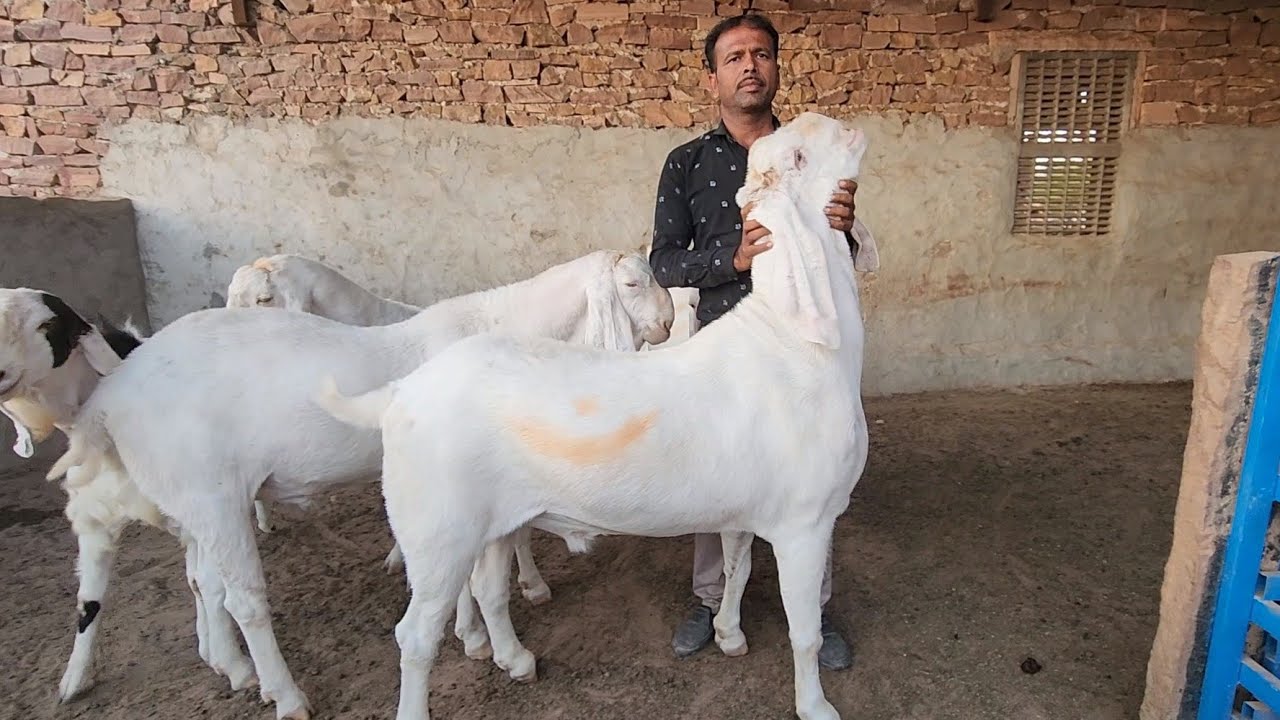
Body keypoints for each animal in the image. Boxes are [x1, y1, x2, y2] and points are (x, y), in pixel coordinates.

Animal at [46, 250, 675, 720]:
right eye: (630, 282)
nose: (668, 322)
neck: (493, 326)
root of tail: (115, 392)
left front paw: (486, 627)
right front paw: (481, 633)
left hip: (198, 500)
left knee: (204, 581)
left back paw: (231, 667)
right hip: (212, 497)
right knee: (244, 598)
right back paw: (286, 694)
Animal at [315, 112, 878, 720]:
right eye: (799, 156)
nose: (841, 125)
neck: (796, 342)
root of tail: (401, 392)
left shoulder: (746, 512)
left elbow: (737, 567)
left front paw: (729, 633)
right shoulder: (805, 523)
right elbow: (805, 632)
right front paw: (816, 706)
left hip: (492, 524)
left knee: (489, 590)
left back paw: (517, 660)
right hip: (438, 532)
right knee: (416, 635)